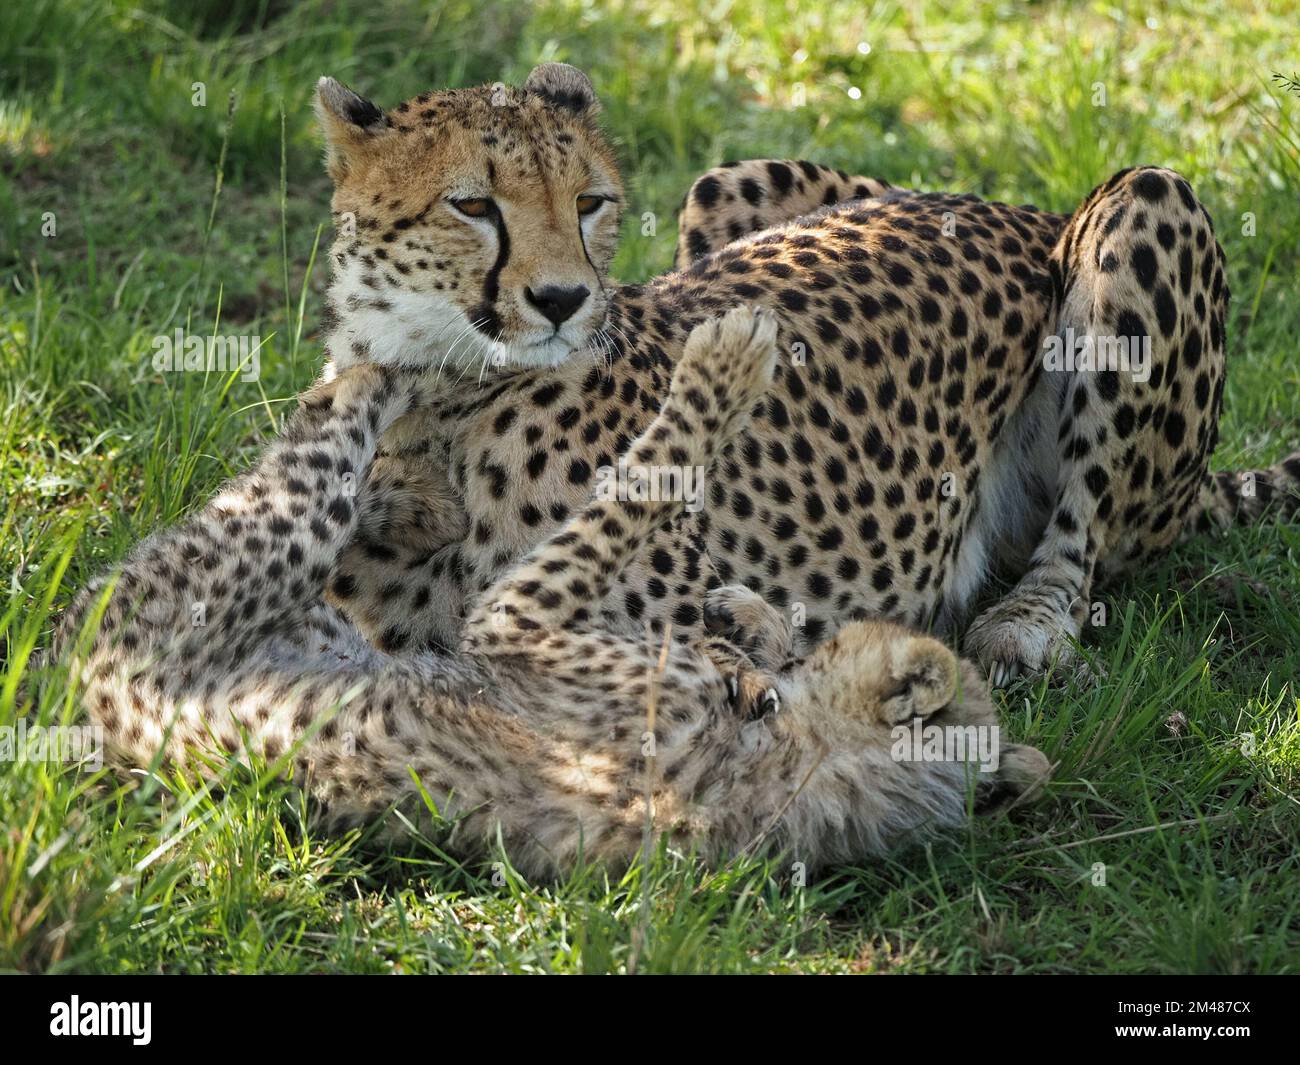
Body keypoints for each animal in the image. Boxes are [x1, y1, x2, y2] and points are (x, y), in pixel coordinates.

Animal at [59, 306, 1051, 877]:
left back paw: (402, 412)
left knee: (331, 420)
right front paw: (749, 614)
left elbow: (641, 478)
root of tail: (86, 716)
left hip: (249, 545)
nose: (742, 631)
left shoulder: (512, 622)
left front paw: (722, 372)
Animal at [316, 63, 1300, 686]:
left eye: (590, 202)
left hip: (1148, 200)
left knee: (1078, 545)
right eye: (473, 205)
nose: (563, 299)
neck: (437, 402)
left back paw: (1018, 624)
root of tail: (1024, 210)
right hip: (726, 181)